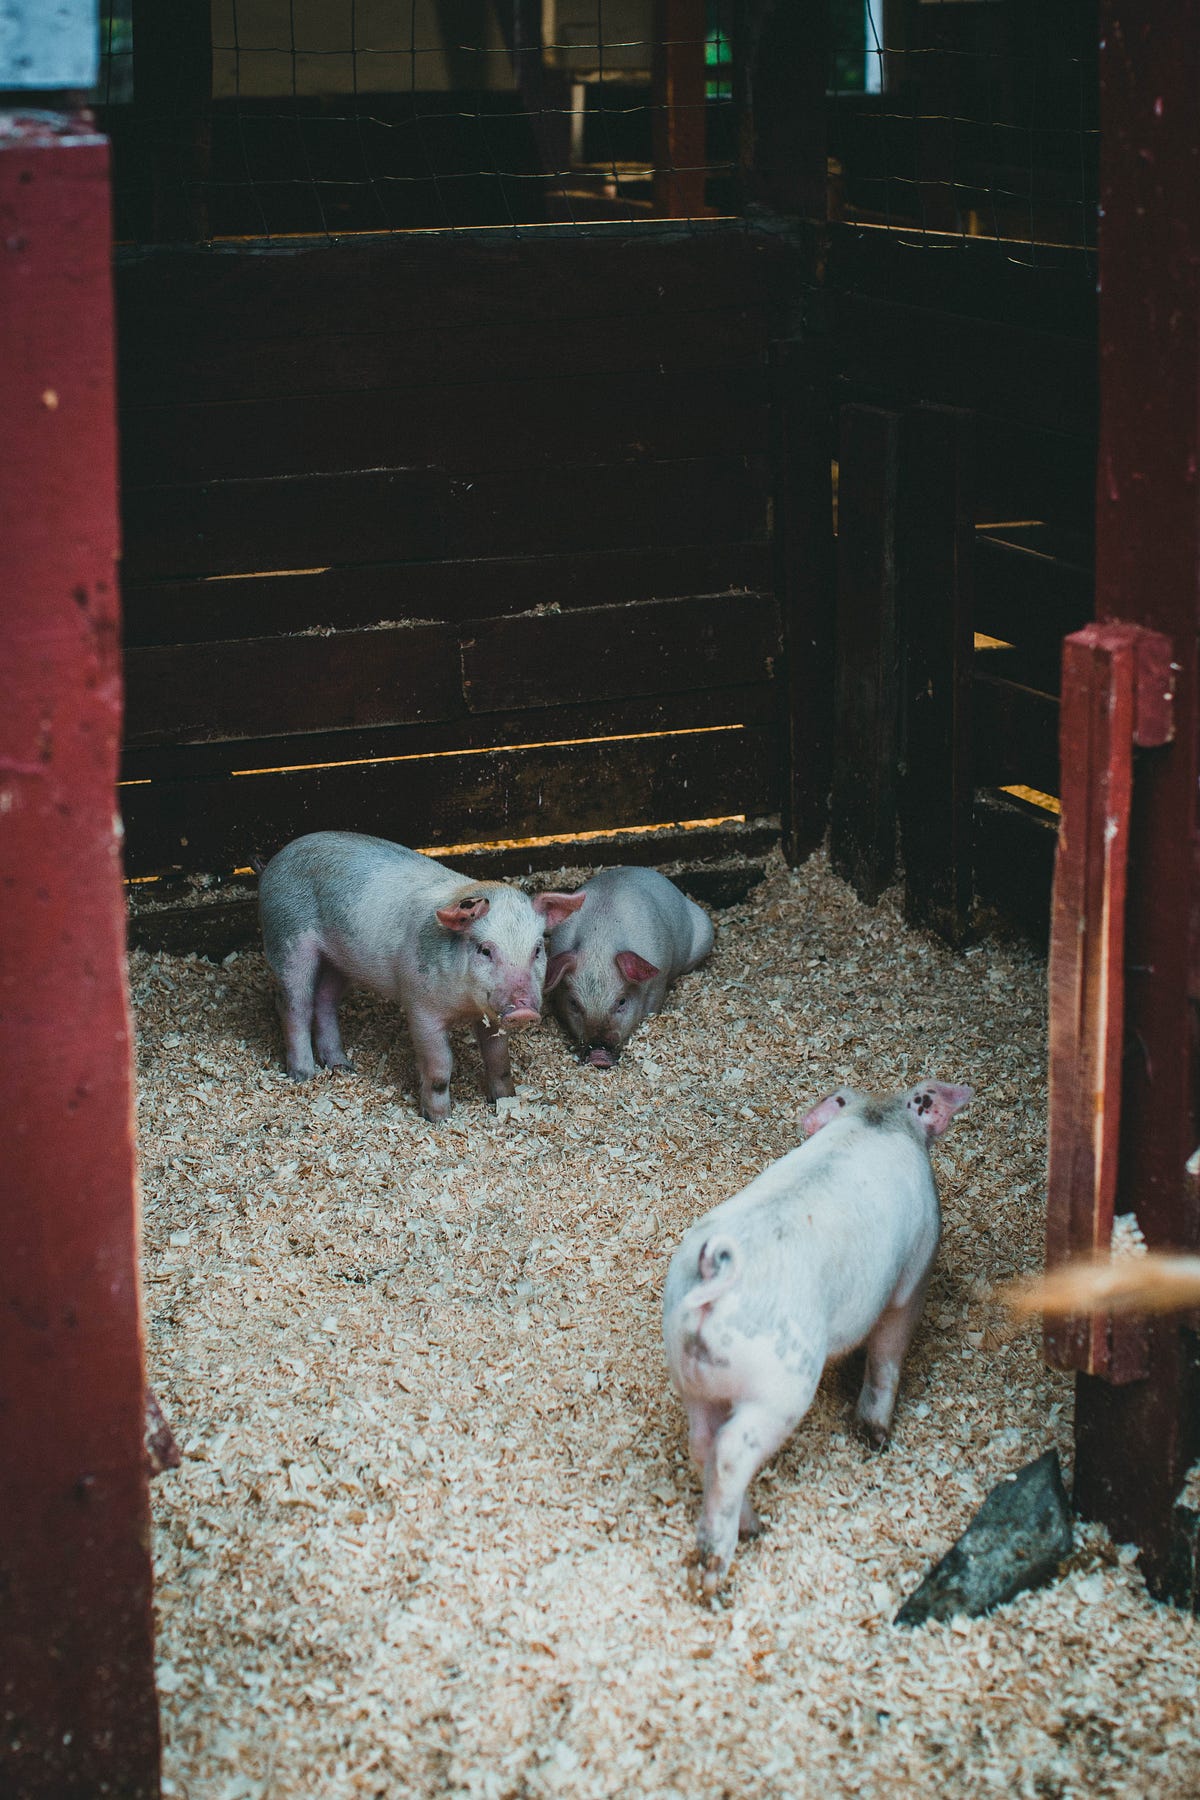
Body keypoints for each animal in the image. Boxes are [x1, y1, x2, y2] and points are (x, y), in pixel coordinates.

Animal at [258, 831, 584, 1121]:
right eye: (485, 950)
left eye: (537, 949)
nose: (524, 1010)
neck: (466, 1006)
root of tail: (275, 860)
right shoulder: (420, 1007)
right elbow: (440, 1066)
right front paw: (438, 1118)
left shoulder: (489, 1015)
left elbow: (498, 1058)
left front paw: (504, 1100)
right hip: (288, 939)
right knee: (293, 1005)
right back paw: (303, 1075)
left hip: (339, 961)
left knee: (324, 1002)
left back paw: (342, 1066)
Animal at [661, 1079, 973, 1595]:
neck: (877, 1119)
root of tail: (713, 1274)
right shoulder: (912, 1278)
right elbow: (887, 1355)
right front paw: (875, 1437)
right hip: (779, 1387)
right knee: (729, 1452)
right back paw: (717, 1570)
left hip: (690, 1378)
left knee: (702, 1443)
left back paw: (751, 1527)